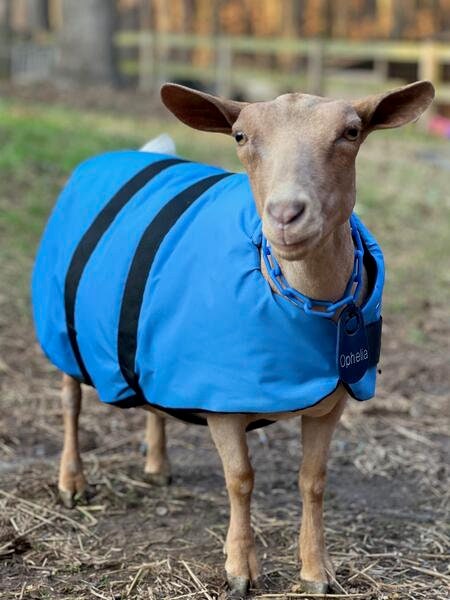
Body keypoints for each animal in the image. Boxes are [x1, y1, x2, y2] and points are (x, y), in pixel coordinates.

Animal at [32, 80, 434, 597]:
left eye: (351, 132)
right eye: (240, 136)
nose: (285, 214)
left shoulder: (333, 400)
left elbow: (313, 479)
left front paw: (316, 571)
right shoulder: (222, 400)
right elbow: (240, 479)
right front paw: (240, 568)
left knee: (151, 399)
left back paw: (157, 466)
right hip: (63, 334)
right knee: (70, 404)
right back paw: (72, 482)